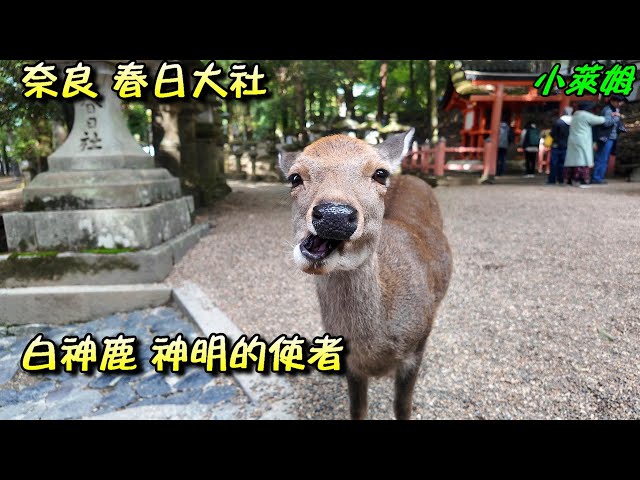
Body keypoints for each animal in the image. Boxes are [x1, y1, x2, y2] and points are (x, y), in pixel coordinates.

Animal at [278, 128, 453, 420]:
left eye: (380, 173)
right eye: (294, 177)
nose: (334, 215)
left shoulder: (414, 349)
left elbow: (402, 406)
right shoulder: (352, 364)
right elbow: (357, 409)